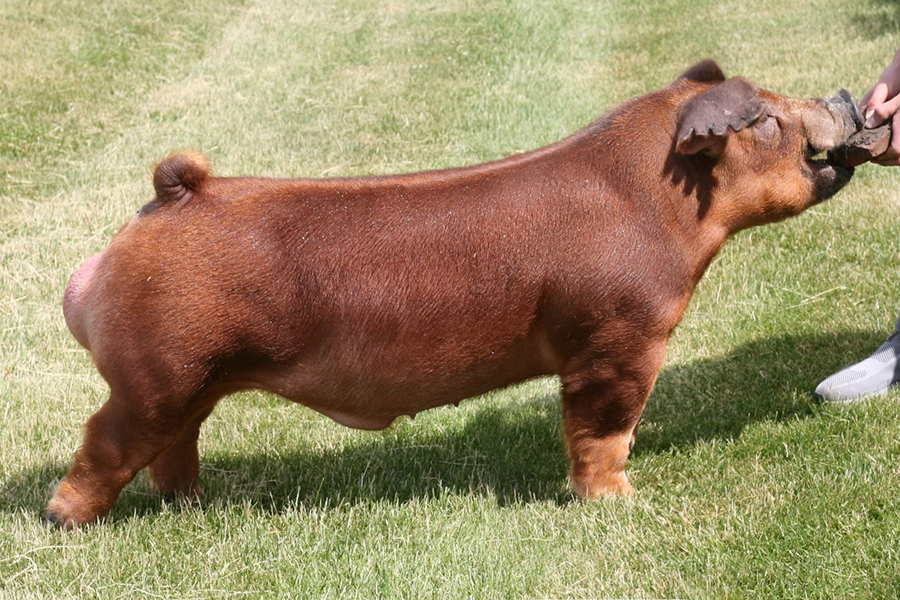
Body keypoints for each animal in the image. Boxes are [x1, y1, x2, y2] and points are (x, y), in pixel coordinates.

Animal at [47, 59, 863, 527]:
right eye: (765, 117)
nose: (847, 98)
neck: (655, 205)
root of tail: (173, 196)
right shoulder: (619, 339)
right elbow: (605, 430)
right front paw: (622, 503)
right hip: (156, 373)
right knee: (107, 438)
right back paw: (65, 520)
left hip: (196, 378)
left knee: (174, 444)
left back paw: (194, 505)